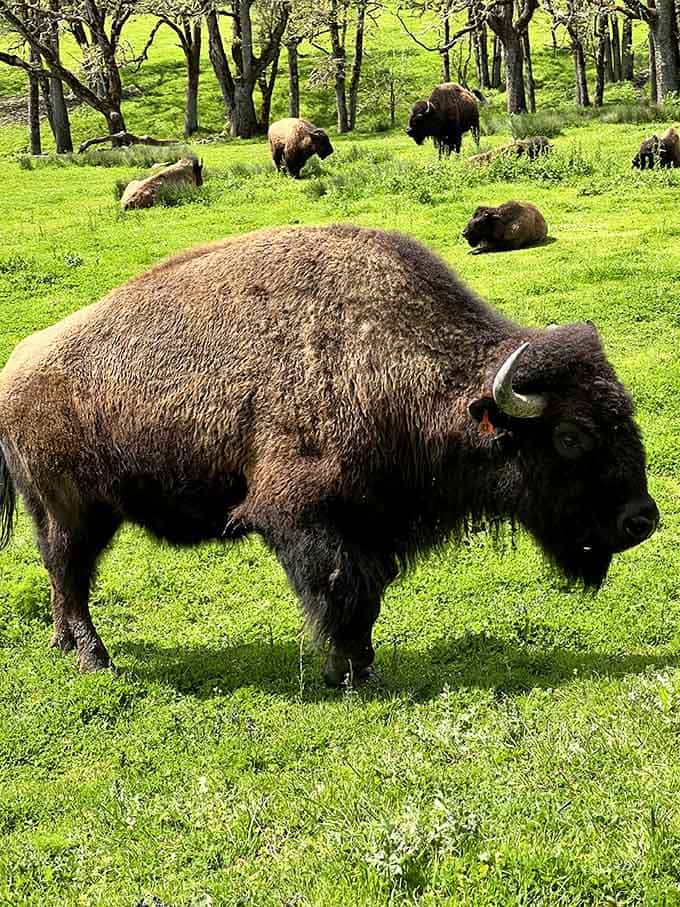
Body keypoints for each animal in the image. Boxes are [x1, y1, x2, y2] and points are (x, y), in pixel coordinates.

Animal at [0, 226, 658, 685]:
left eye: (623, 412)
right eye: (570, 435)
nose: (643, 520)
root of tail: (17, 367)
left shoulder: (371, 522)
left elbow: (369, 589)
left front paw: (358, 666)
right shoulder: (299, 514)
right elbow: (344, 586)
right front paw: (345, 672)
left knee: (62, 575)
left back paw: (68, 647)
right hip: (75, 512)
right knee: (70, 573)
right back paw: (95, 659)